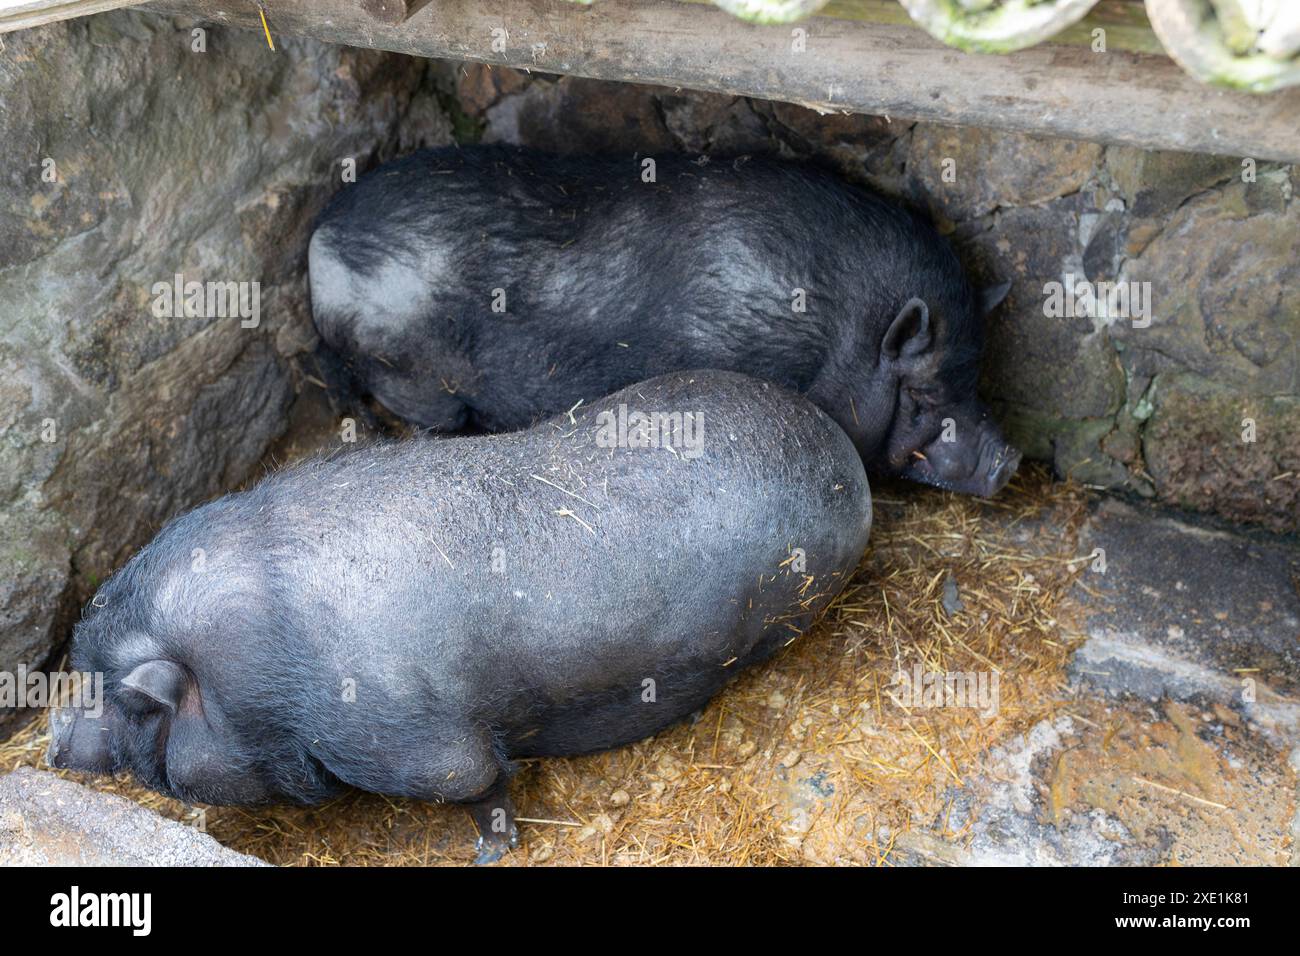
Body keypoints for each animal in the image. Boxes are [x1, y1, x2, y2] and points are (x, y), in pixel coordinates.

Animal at [47, 370, 871, 863]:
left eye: (124, 701)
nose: (53, 739)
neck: (254, 670)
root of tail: (844, 456)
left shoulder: (422, 746)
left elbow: (478, 784)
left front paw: (487, 853)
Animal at [309, 145, 1019, 497]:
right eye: (924, 395)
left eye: (975, 380)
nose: (1010, 458)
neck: (834, 335)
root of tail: (321, 243)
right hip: (410, 373)